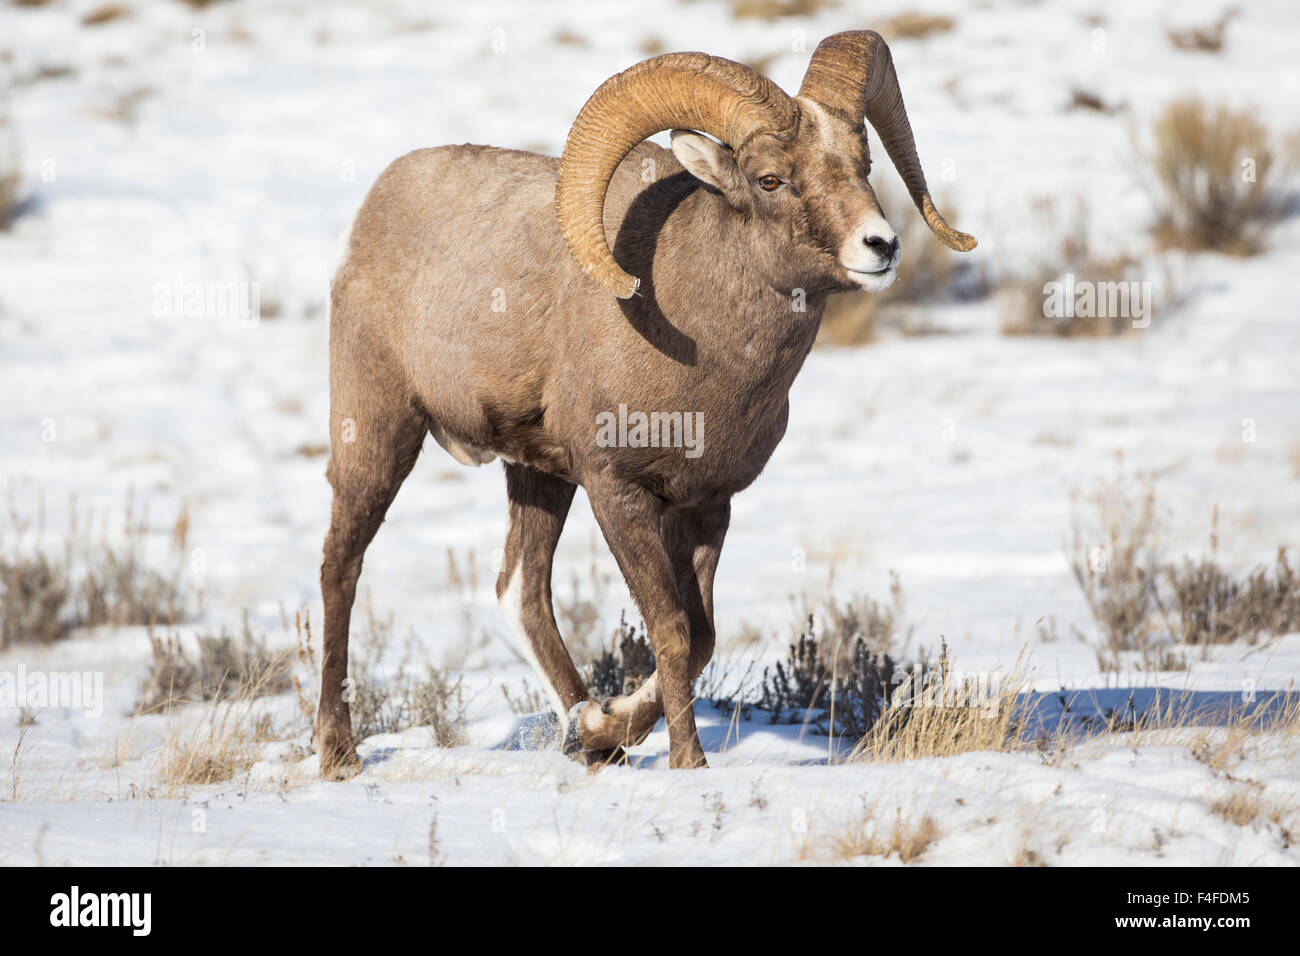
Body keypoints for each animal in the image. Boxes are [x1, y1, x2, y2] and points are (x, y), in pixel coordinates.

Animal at [315, 30, 976, 776]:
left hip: (537, 476)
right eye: (770, 179)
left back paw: (590, 739)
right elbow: (673, 630)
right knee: (341, 568)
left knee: (521, 591)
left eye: (863, 165)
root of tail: (371, 212)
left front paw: (604, 723)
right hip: (379, 434)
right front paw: (689, 765)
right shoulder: (619, 493)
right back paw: (338, 753)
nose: (880, 246)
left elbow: (703, 635)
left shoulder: (706, 504)